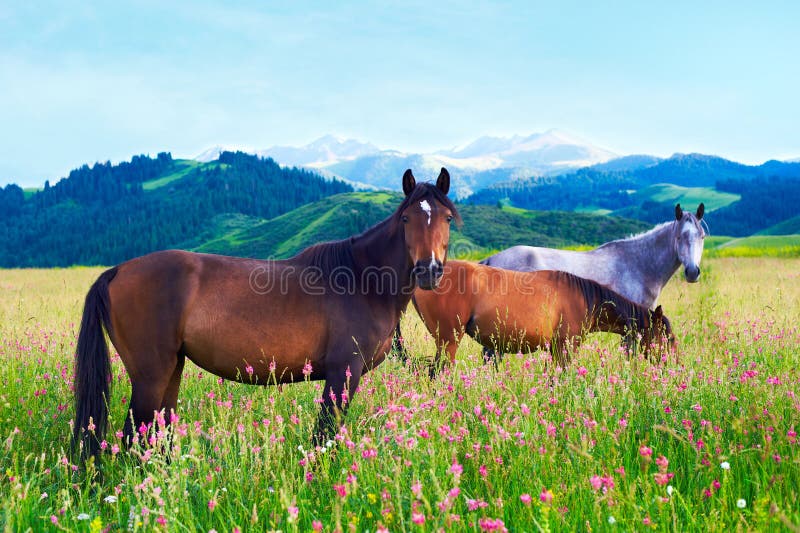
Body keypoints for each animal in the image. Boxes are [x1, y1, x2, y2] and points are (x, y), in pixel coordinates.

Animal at [73, 168, 460, 460]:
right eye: (407, 218)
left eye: (446, 218)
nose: (428, 270)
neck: (361, 279)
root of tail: (117, 271)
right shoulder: (342, 373)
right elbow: (325, 436)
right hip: (150, 376)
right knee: (133, 438)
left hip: (171, 370)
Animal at [411, 260, 675, 374]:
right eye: (668, 338)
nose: (673, 364)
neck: (585, 298)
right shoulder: (566, 347)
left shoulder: (555, 349)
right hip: (448, 341)